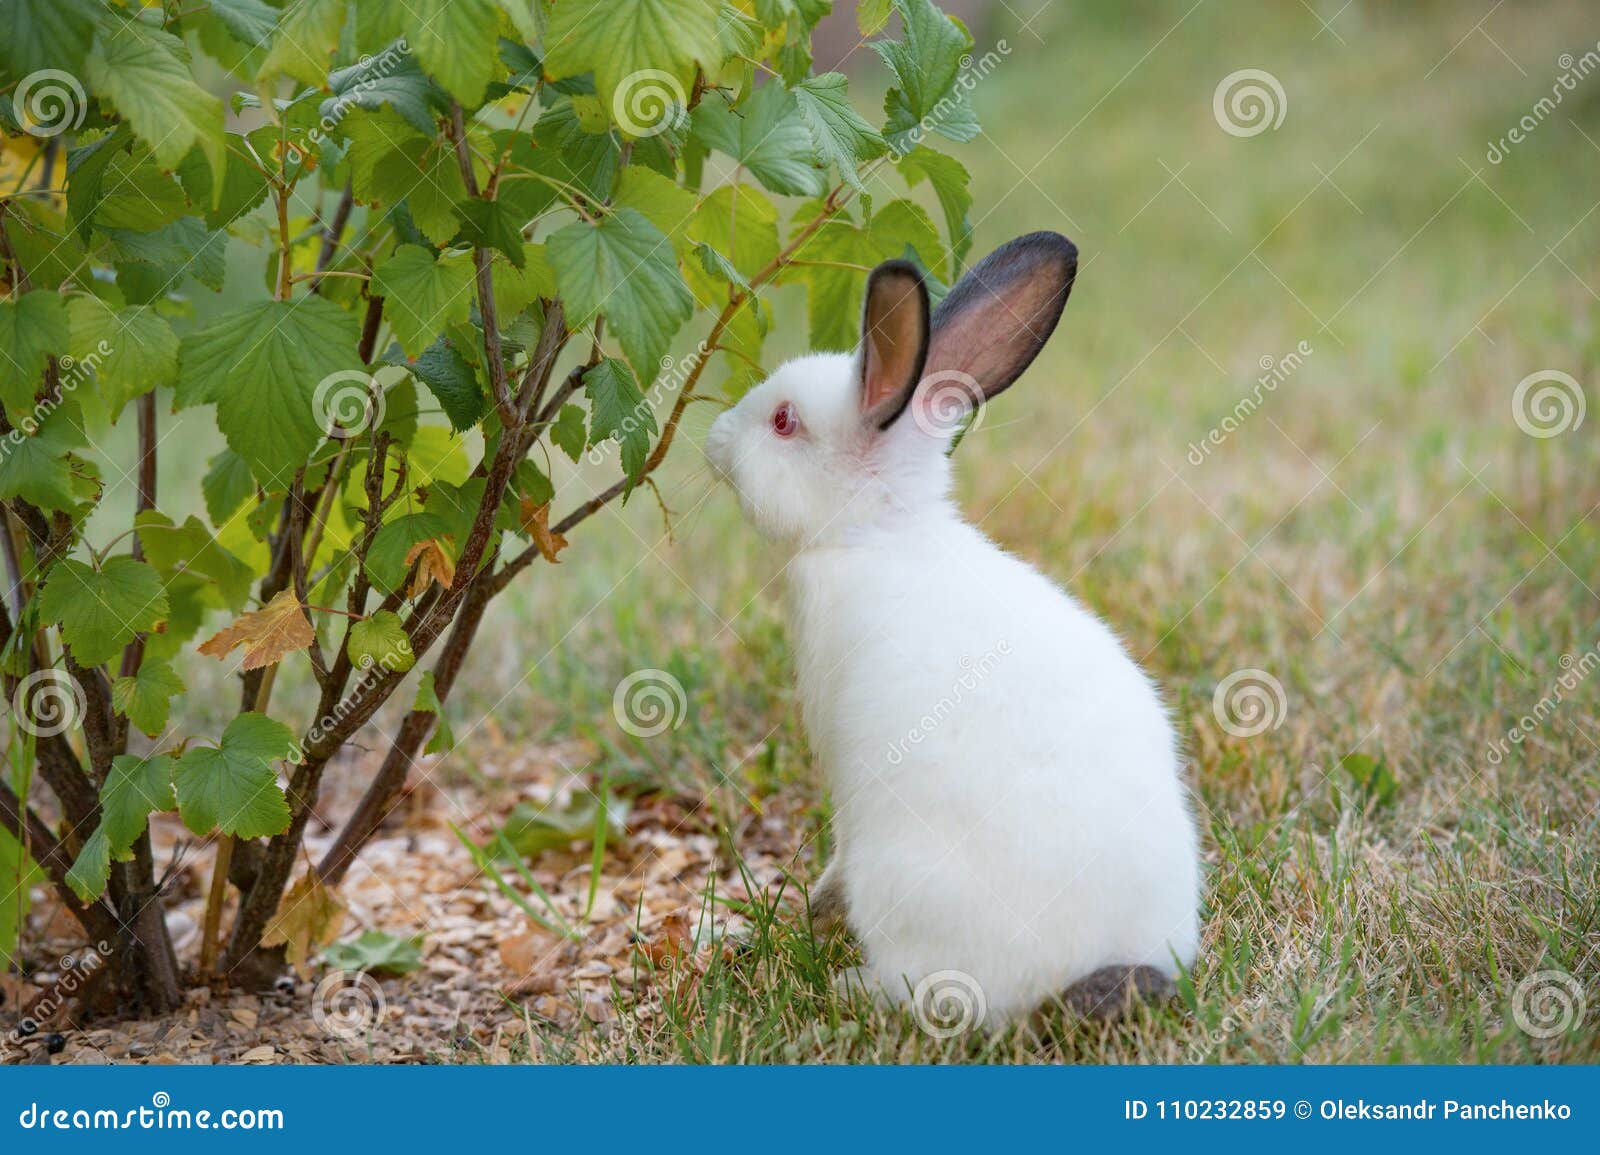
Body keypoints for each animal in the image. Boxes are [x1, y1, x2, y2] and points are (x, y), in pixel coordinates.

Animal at [703, 232, 1200, 1029]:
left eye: (783, 422)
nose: (713, 440)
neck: (881, 533)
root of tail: (1085, 969)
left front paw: (814, 908)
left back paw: (852, 988)